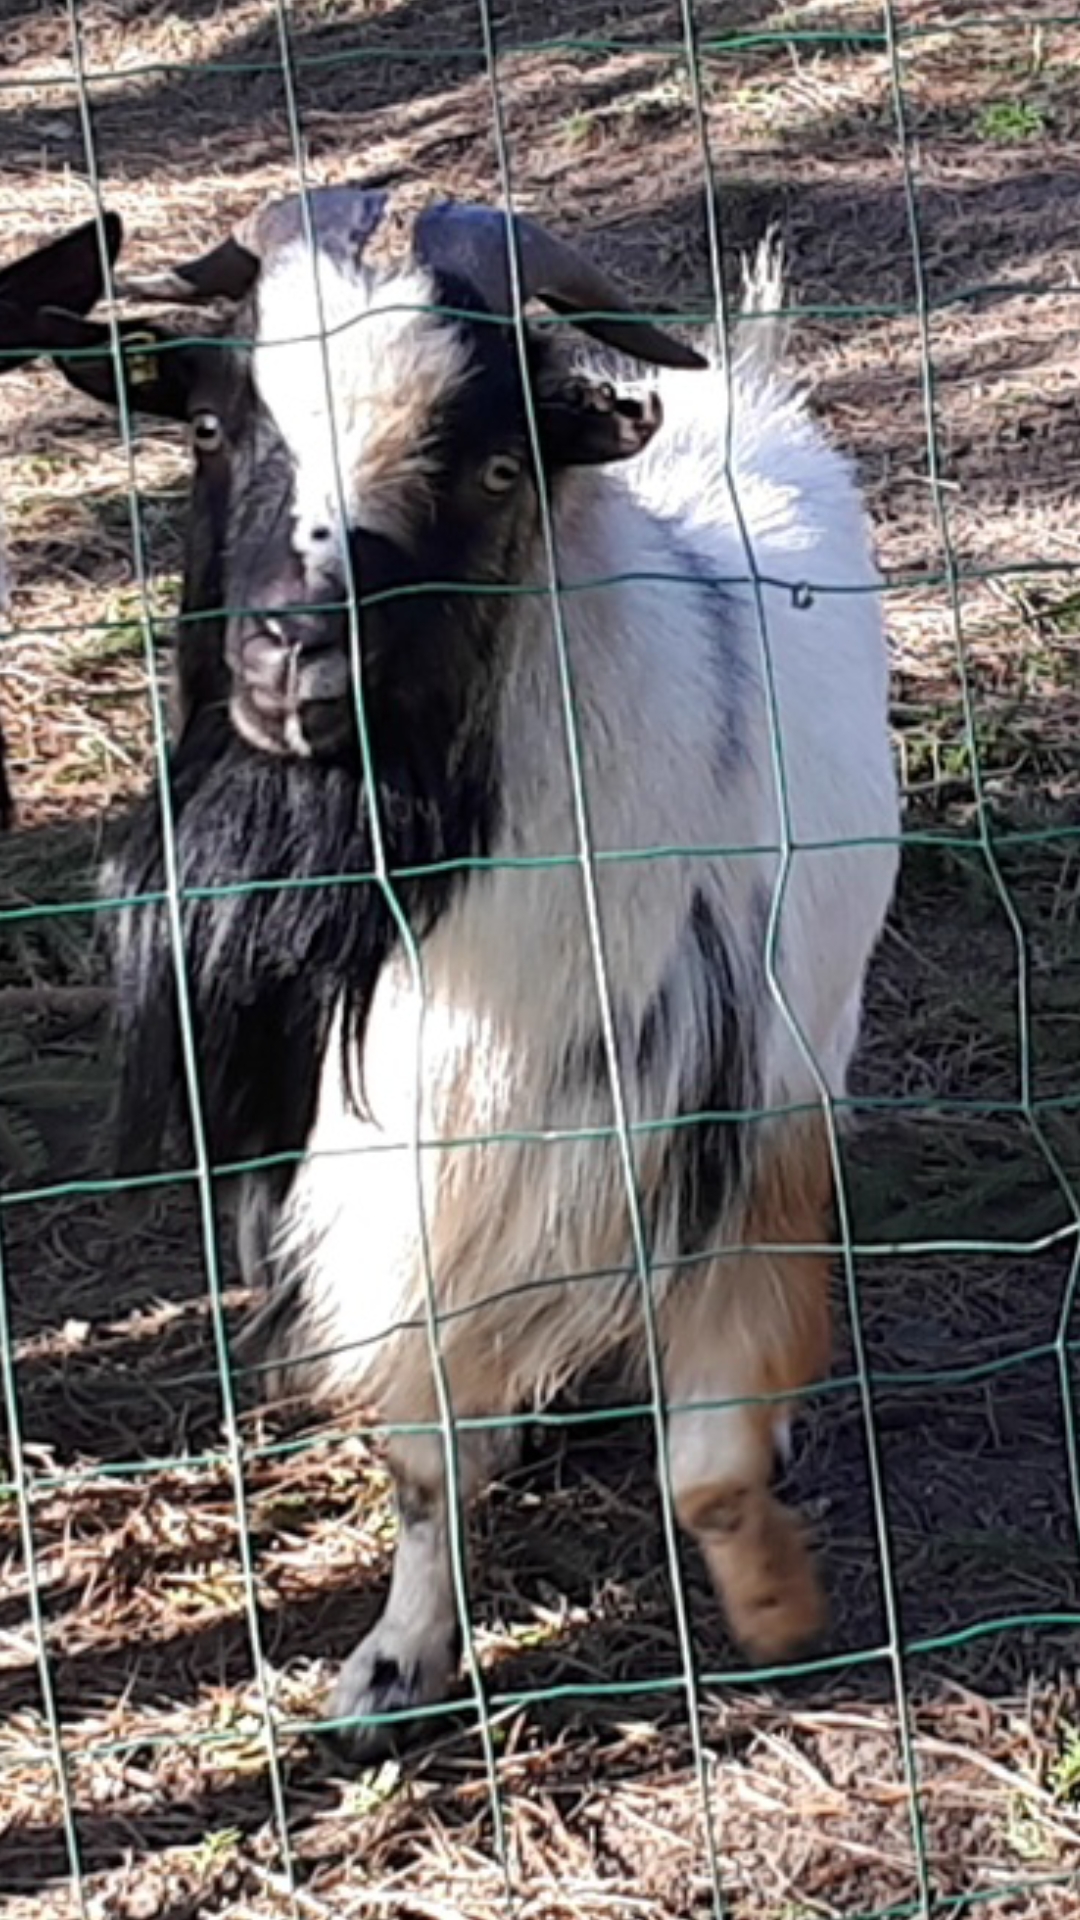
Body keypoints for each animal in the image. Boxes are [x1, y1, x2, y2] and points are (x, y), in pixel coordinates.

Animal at [48, 186, 900, 1759]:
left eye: (495, 462)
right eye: (213, 430)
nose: (297, 664)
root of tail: (749, 400)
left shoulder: (727, 1107)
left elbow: (706, 1453)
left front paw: (773, 1607)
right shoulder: (394, 1182)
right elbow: (425, 1456)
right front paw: (392, 1671)